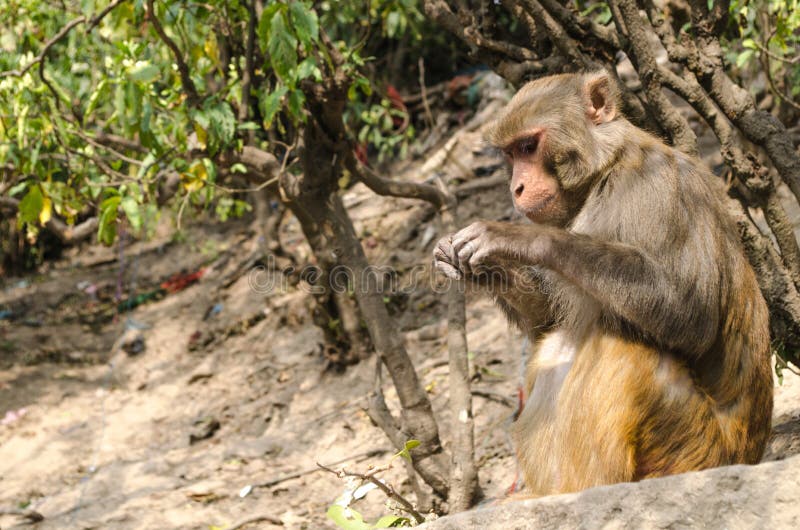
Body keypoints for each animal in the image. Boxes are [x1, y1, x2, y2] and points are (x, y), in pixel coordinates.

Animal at [433, 70, 773, 496]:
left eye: (529, 146)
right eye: (511, 155)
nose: (516, 188)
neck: (607, 170)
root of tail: (750, 452)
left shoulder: (657, 189)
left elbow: (692, 316)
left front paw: (521, 240)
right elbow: (547, 321)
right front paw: (478, 266)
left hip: (694, 450)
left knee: (618, 343)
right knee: (559, 344)